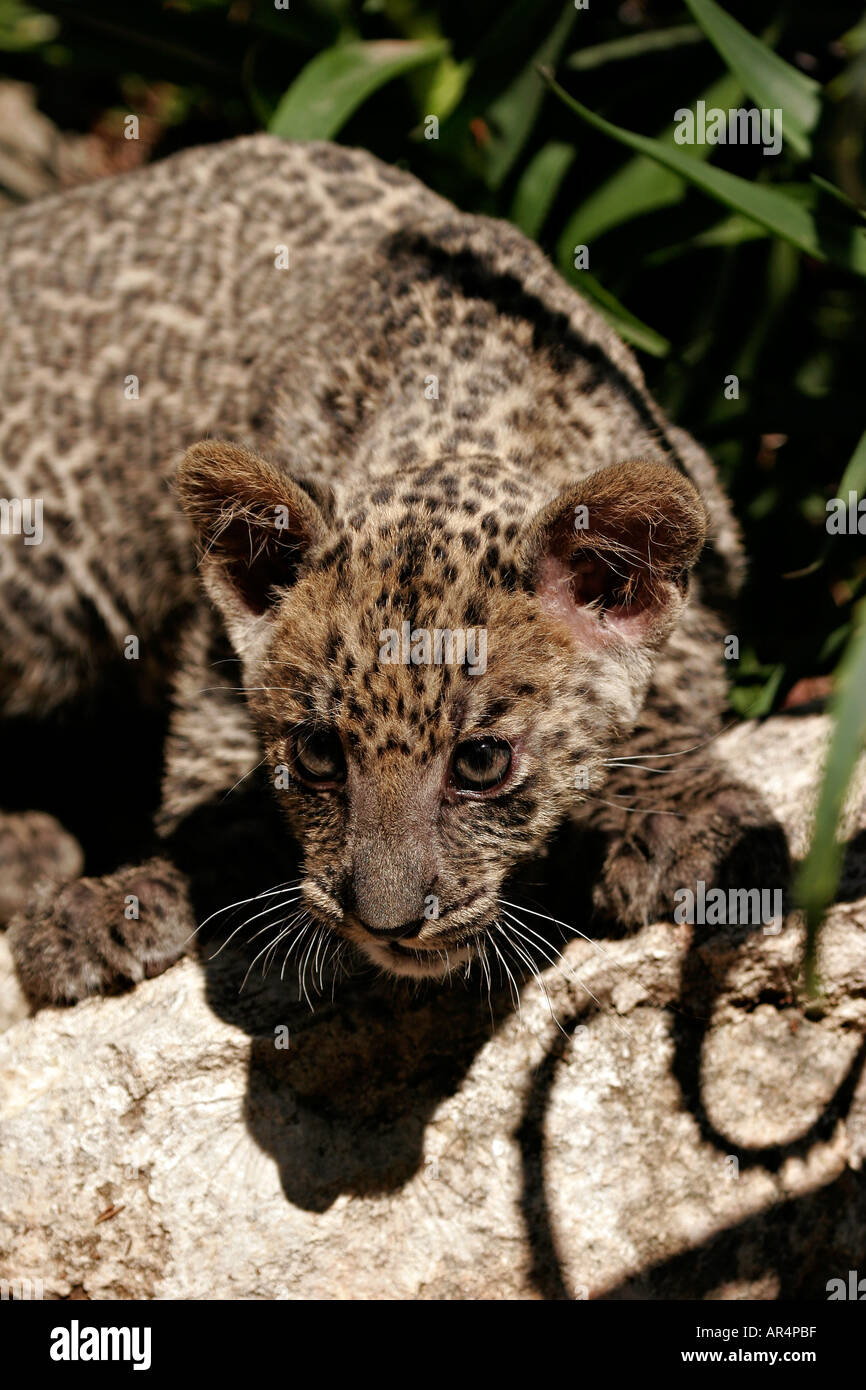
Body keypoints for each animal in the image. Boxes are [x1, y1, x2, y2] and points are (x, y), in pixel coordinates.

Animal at [0, 133, 780, 1007]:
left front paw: (688, 825)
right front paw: (131, 895)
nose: (387, 922)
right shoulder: (212, 639)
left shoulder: (706, 530)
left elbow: (672, 690)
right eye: (316, 754)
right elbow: (209, 769)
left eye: (481, 762)